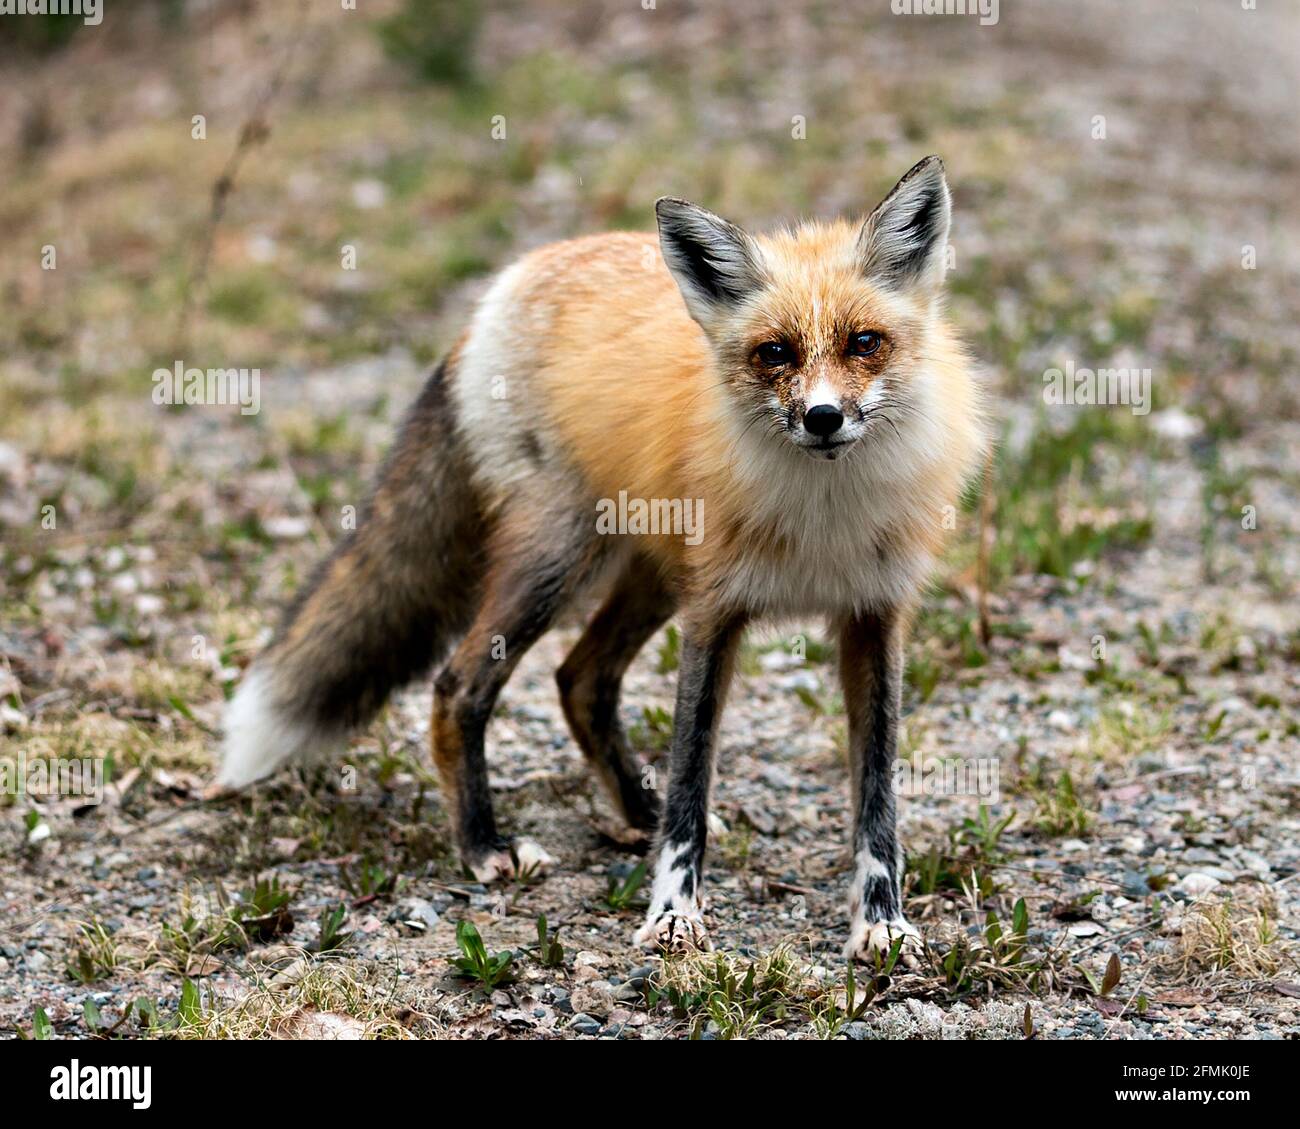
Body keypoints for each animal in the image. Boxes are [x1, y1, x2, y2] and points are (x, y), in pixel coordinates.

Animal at [218, 156, 988, 962]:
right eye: (775, 352)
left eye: (864, 342)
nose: (823, 417)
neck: (824, 511)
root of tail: (506, 286)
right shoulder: (713, 616)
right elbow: (690, 778)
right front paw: (673, 912)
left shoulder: (875, 617)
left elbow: (877, 795)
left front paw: (883, 921)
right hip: (557, 559)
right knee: (459, 683)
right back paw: (483, 845)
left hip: (648, 575)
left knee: (579, 678)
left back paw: (630, 811)